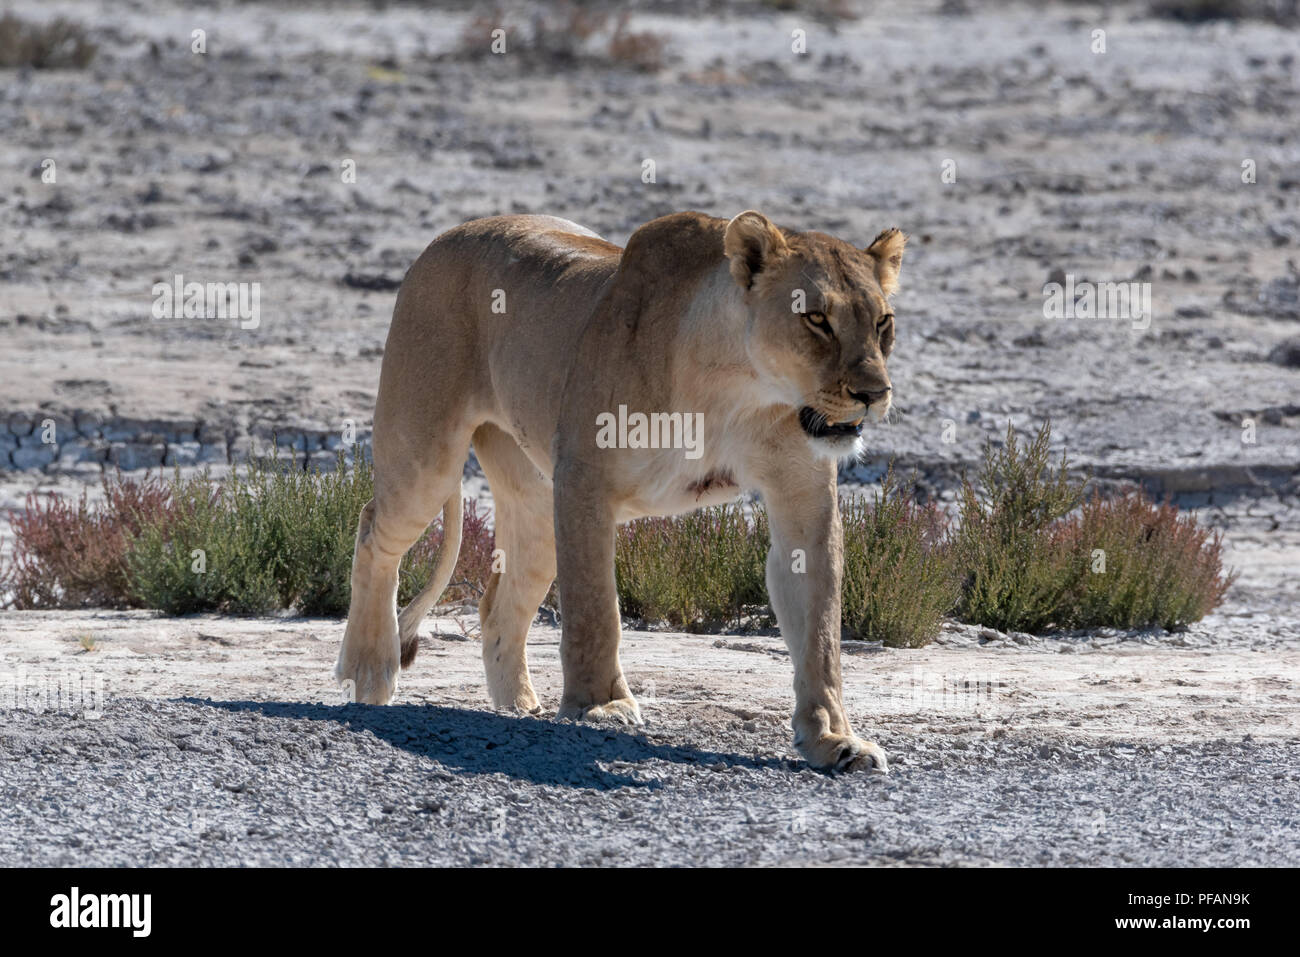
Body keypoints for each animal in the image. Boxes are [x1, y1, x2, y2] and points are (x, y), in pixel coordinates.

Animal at [335, 210, 903, 772]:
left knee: (499, 604)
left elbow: (820, 632)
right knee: (373, 532)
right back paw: (369, 669)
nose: (874, 394)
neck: (737, 386)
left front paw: (835, 739)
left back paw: (518, 708)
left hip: (536, 501)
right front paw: (600, 706)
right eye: (817, 319)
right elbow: (596, 608)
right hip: (425, 456)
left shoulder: (804, 500)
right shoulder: (584, 478)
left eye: (882, 323)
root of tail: (451, 232)